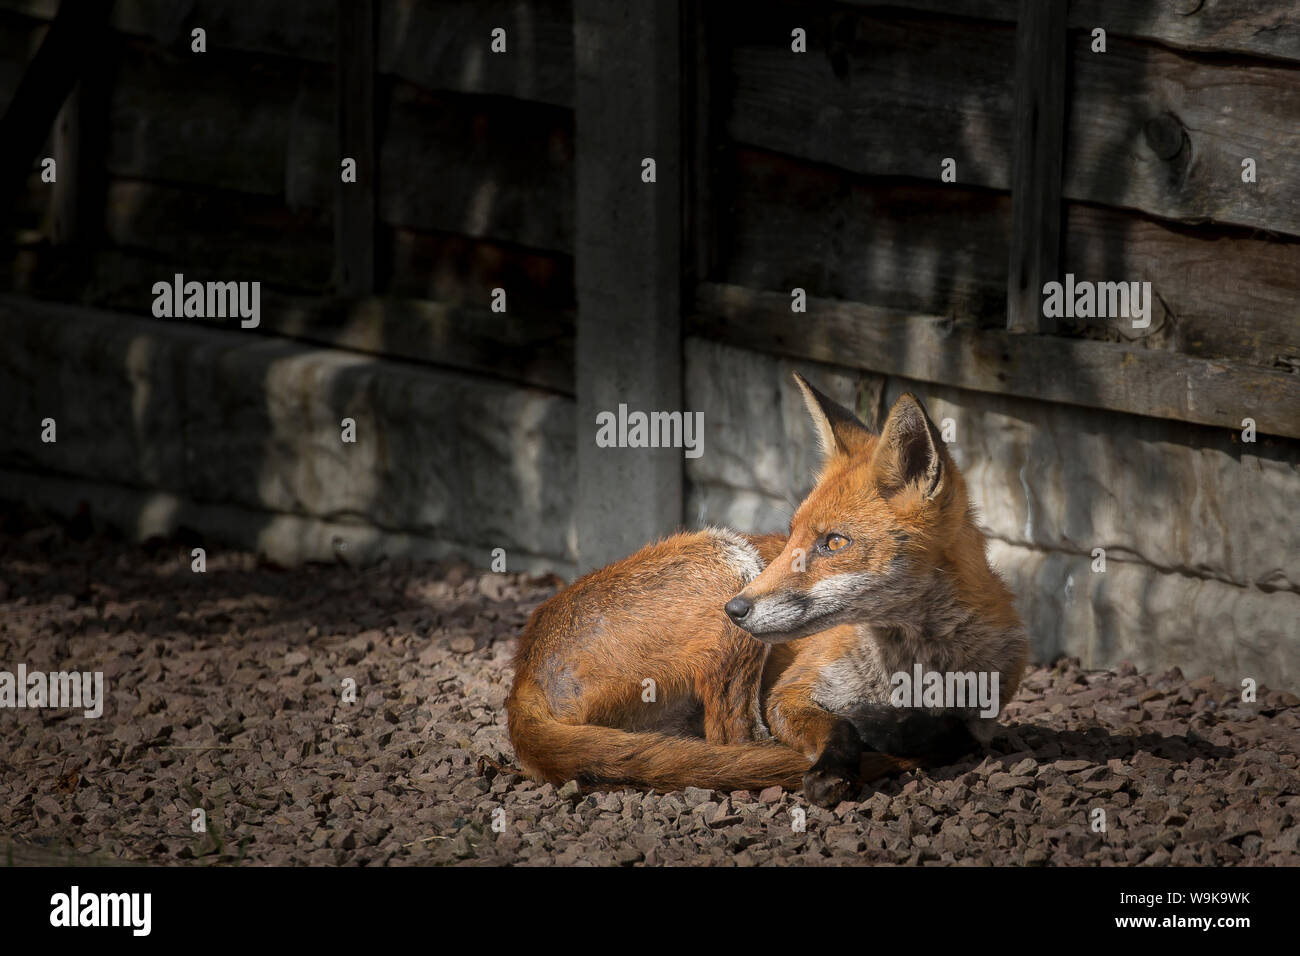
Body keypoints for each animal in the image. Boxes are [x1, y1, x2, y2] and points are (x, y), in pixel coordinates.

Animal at [506, 372, 1028, 805]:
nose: (734, 609)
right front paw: (836, 766)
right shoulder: (789, 694)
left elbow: (953, 730)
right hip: (730, 560)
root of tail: (522, 670)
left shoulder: (986, 709)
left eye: (834, 542)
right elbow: (841, 727)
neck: (910, 673)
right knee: (734, 740)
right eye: (791, 534)